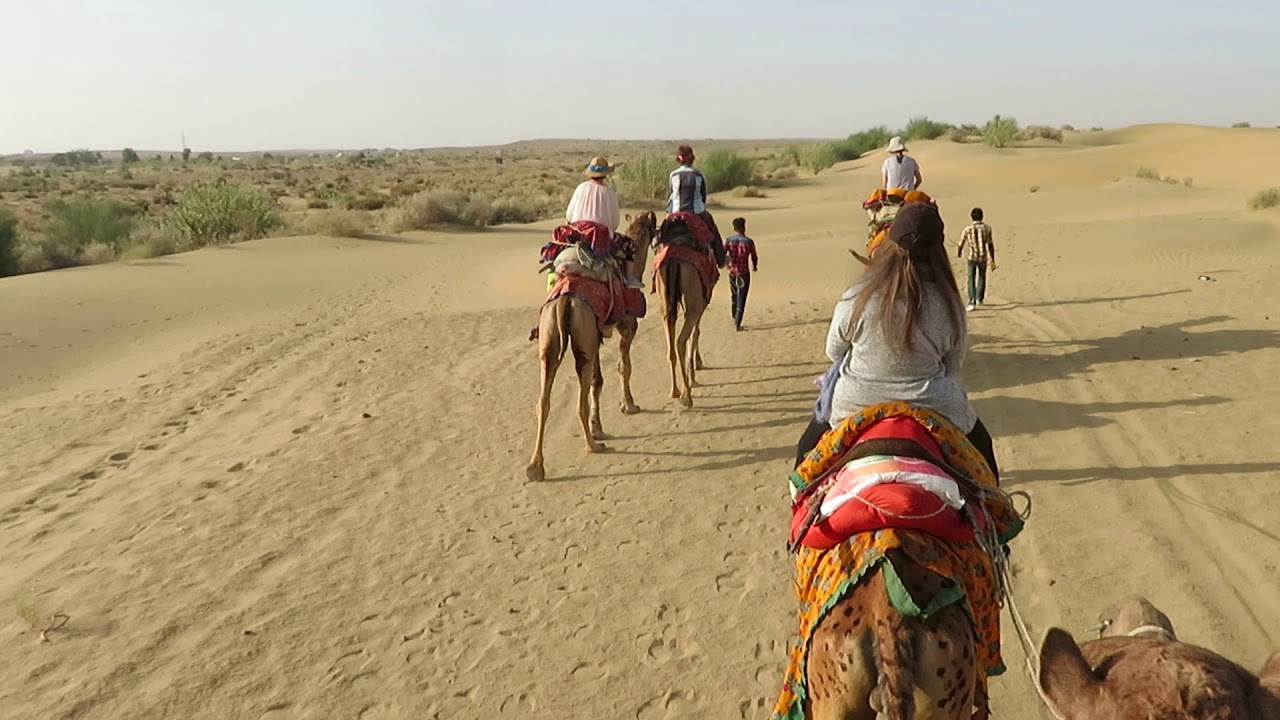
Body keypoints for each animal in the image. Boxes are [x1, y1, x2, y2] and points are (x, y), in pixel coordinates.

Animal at [525, 212, 658, 483]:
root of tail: (564, 300)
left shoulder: (595, 336)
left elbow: (598, 381)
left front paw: (599, 426)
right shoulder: (628, 327)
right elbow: (624, 366)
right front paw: (629, 406)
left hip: (554, 338)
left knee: (543, 400)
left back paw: (535, 467)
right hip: (583, 342)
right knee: (579, 400)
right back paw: (592, 446)